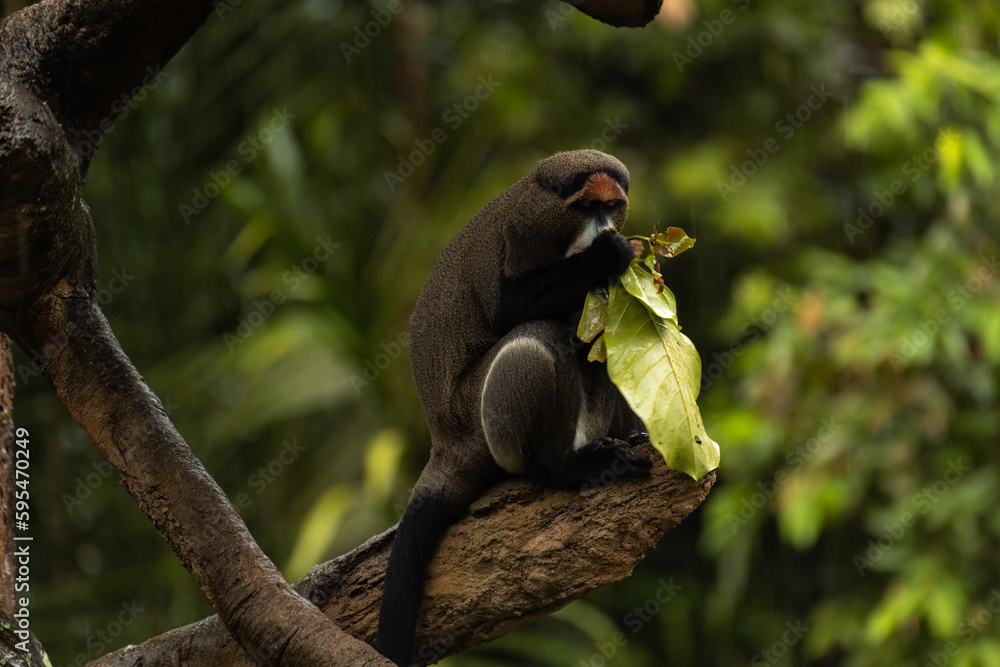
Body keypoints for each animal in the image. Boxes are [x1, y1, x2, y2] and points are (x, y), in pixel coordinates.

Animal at [377, 149, 652, 666]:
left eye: (612, 206)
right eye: (587, 208)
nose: (604, 228)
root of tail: (445, 444)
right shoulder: (524, 231)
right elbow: (511, 311)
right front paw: (608, 256)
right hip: (479, 421)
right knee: (539, 334)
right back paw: (563, 466)